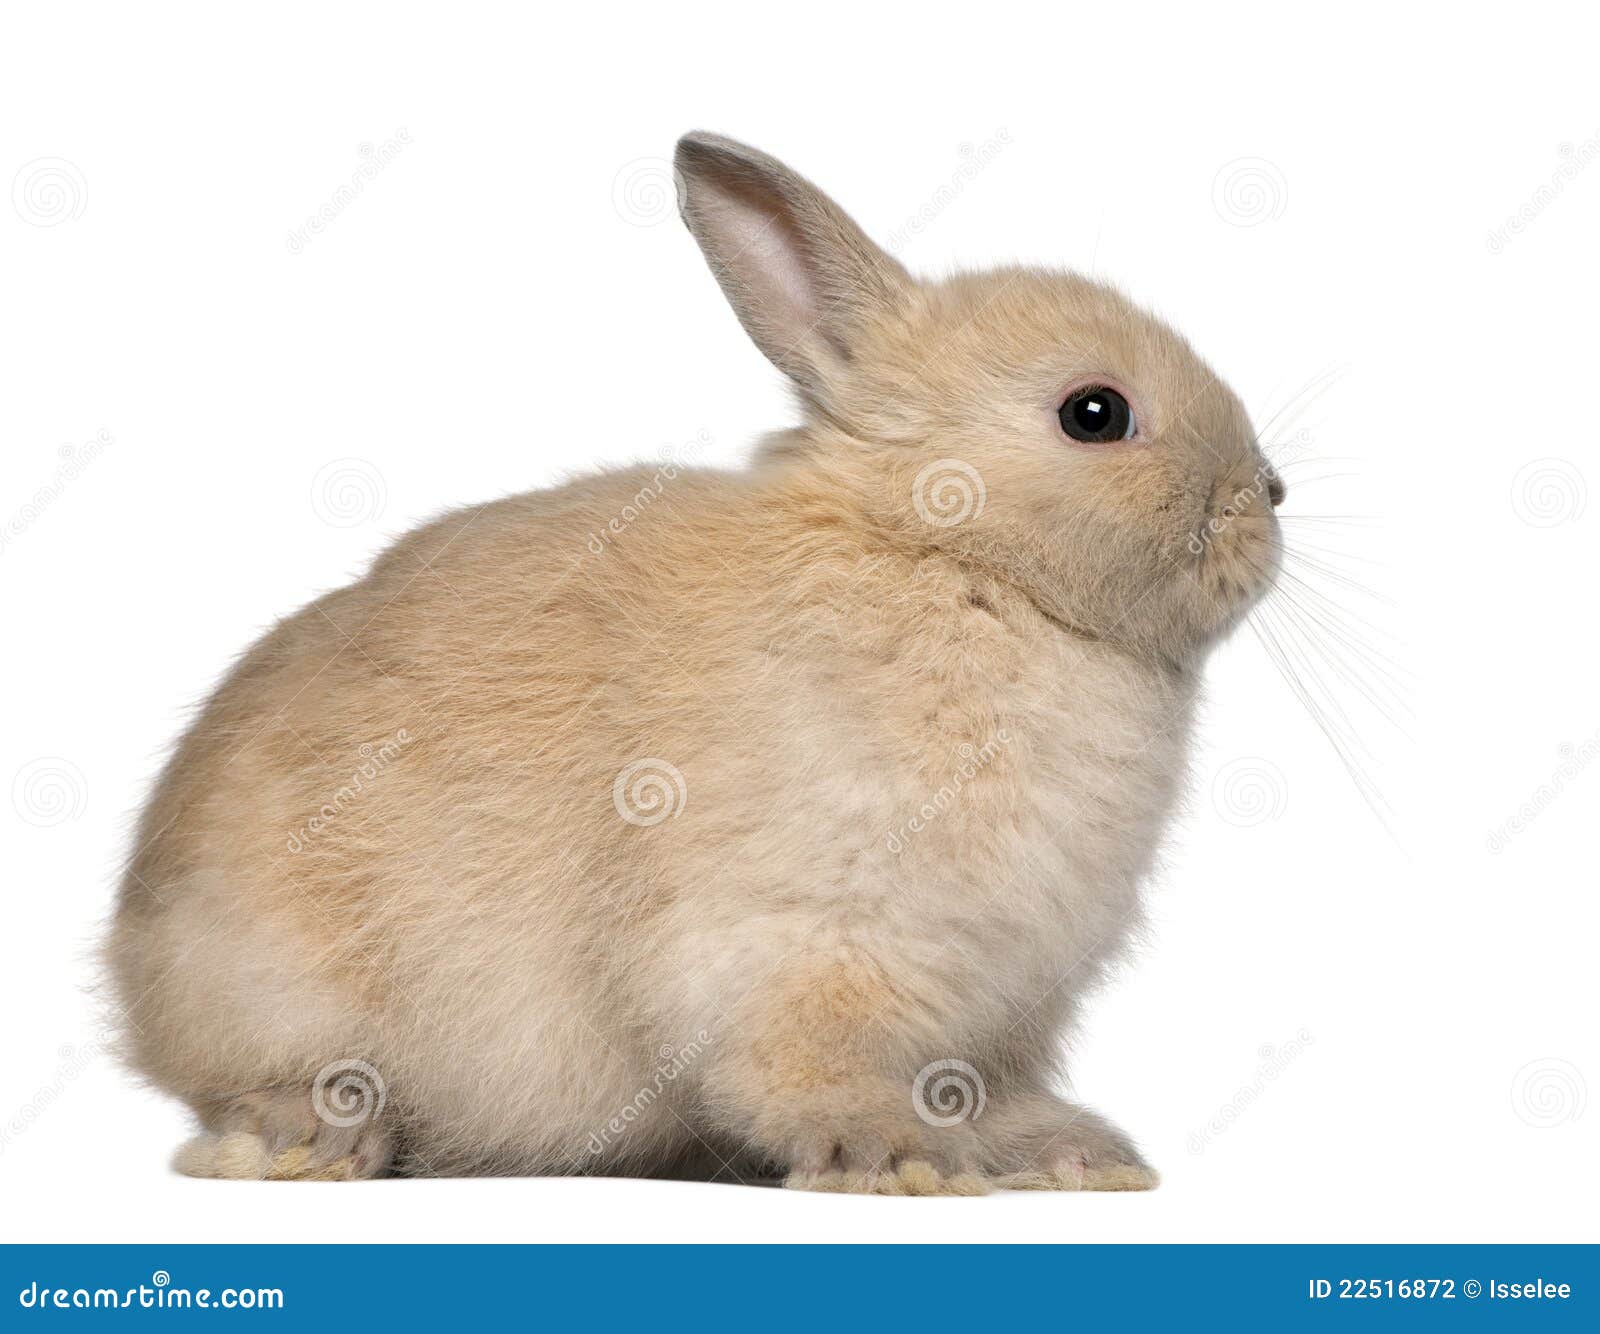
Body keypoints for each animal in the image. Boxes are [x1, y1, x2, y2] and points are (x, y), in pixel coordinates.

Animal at [105, 132, 1284, 1193]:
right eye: (1096, 413)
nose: (1265, 496)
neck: (950, 558)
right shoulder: (802, 934)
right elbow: (806, 1066)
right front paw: (892, 1157)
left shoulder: (997, 1007)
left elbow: (978, 1090)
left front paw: (1071, 1155)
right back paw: (302, 1142)